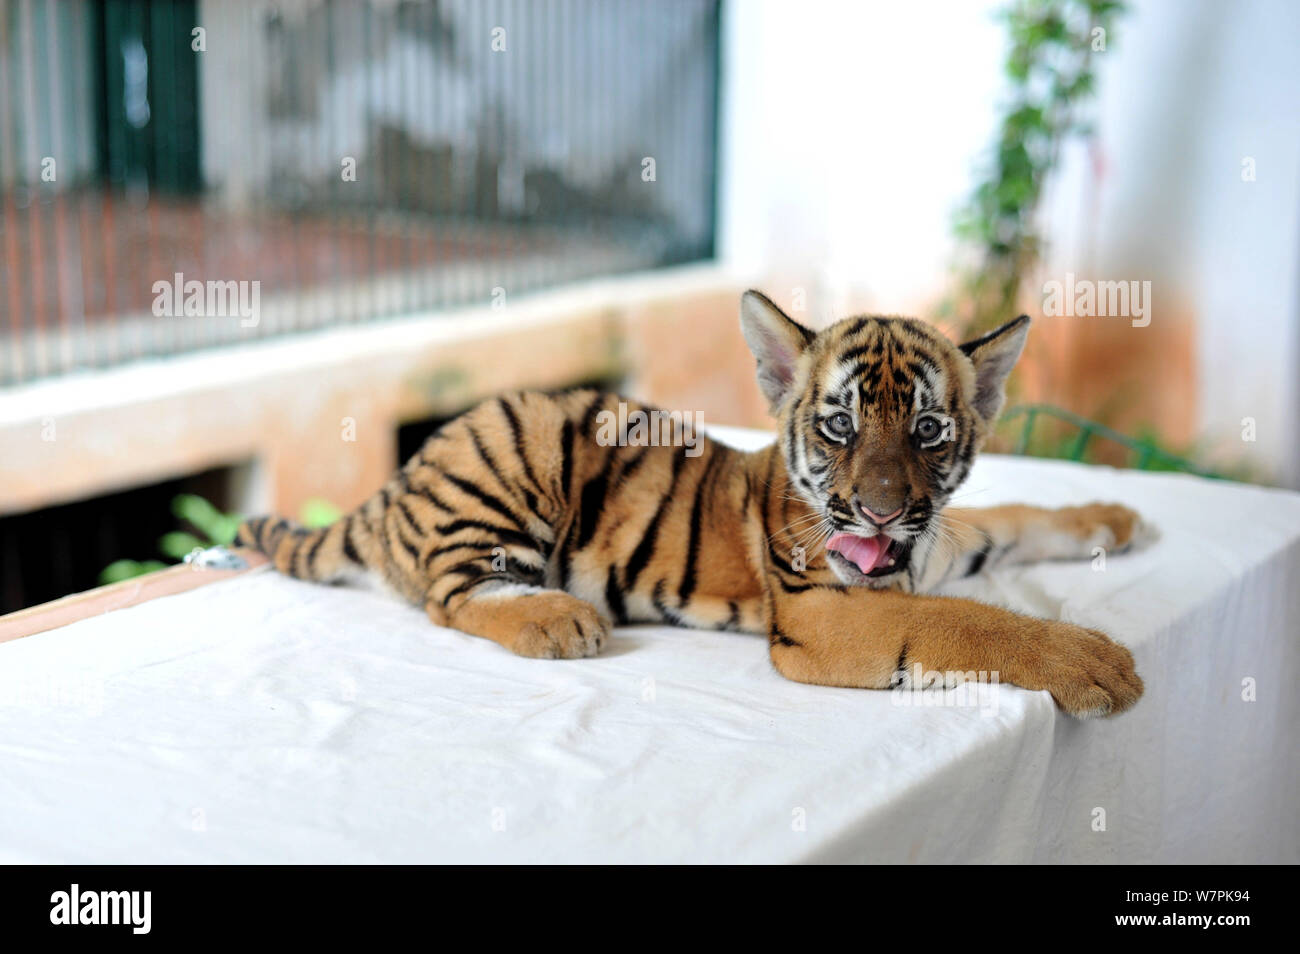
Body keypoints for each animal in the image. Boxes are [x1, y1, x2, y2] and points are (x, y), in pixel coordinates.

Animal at [238, 290, 1148, 718]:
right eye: (840, 425)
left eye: (927, 429)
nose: (883, 511)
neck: (907, 551)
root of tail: (397, 483)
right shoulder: (826, 615)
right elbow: (969, 622)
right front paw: (1092, 662)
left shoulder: (939, 539)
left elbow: (1017, 517)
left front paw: (1114, 519)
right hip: (510, 453)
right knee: (450, 596)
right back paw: (557, 618)